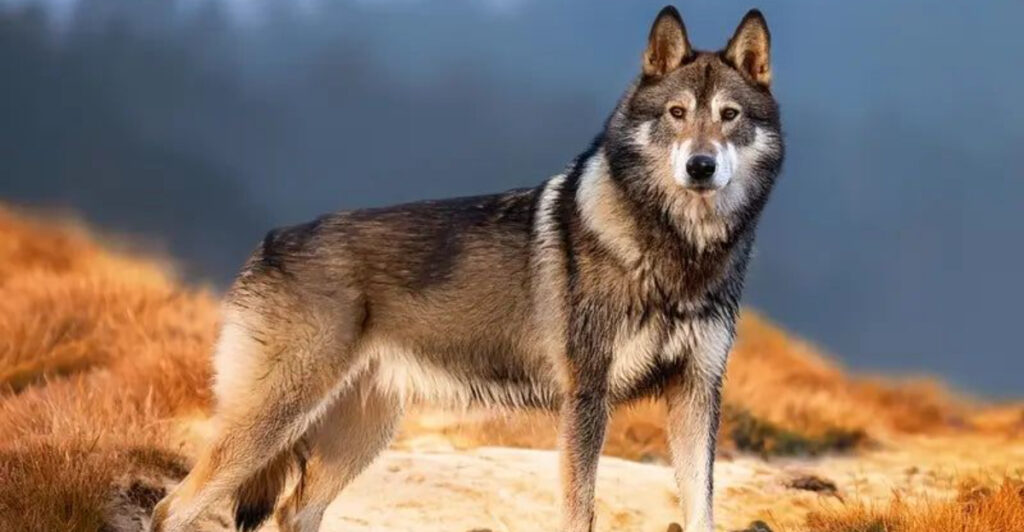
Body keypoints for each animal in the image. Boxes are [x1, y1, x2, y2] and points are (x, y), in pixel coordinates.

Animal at [151, 6, 783, 532]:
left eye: (728, 116)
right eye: (677, 114)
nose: (700, 166)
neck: (681, 252)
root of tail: (268, 241)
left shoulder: (697, 394)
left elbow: (701, 507)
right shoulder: (586, 399)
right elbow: (580, 509)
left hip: (362, 434)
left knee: (291, 513)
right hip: (273, 424)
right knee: (170, 509)